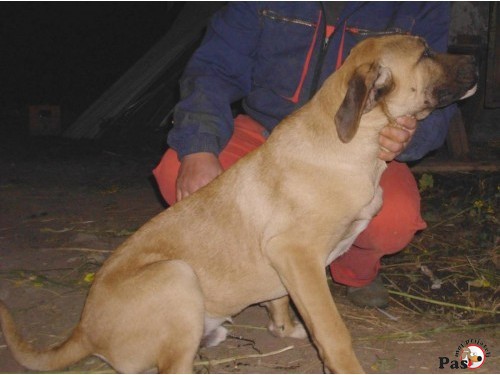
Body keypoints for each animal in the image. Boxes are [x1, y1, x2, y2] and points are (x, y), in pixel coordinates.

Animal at [0, 34, 476, 374]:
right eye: (426, 52)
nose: (473, 62)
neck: (353, 140)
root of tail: (83, 330)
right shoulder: (298, 253)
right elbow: (334, 331)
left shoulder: (288, 263)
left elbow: (283, 301)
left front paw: (285, 327)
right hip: (176, 274)